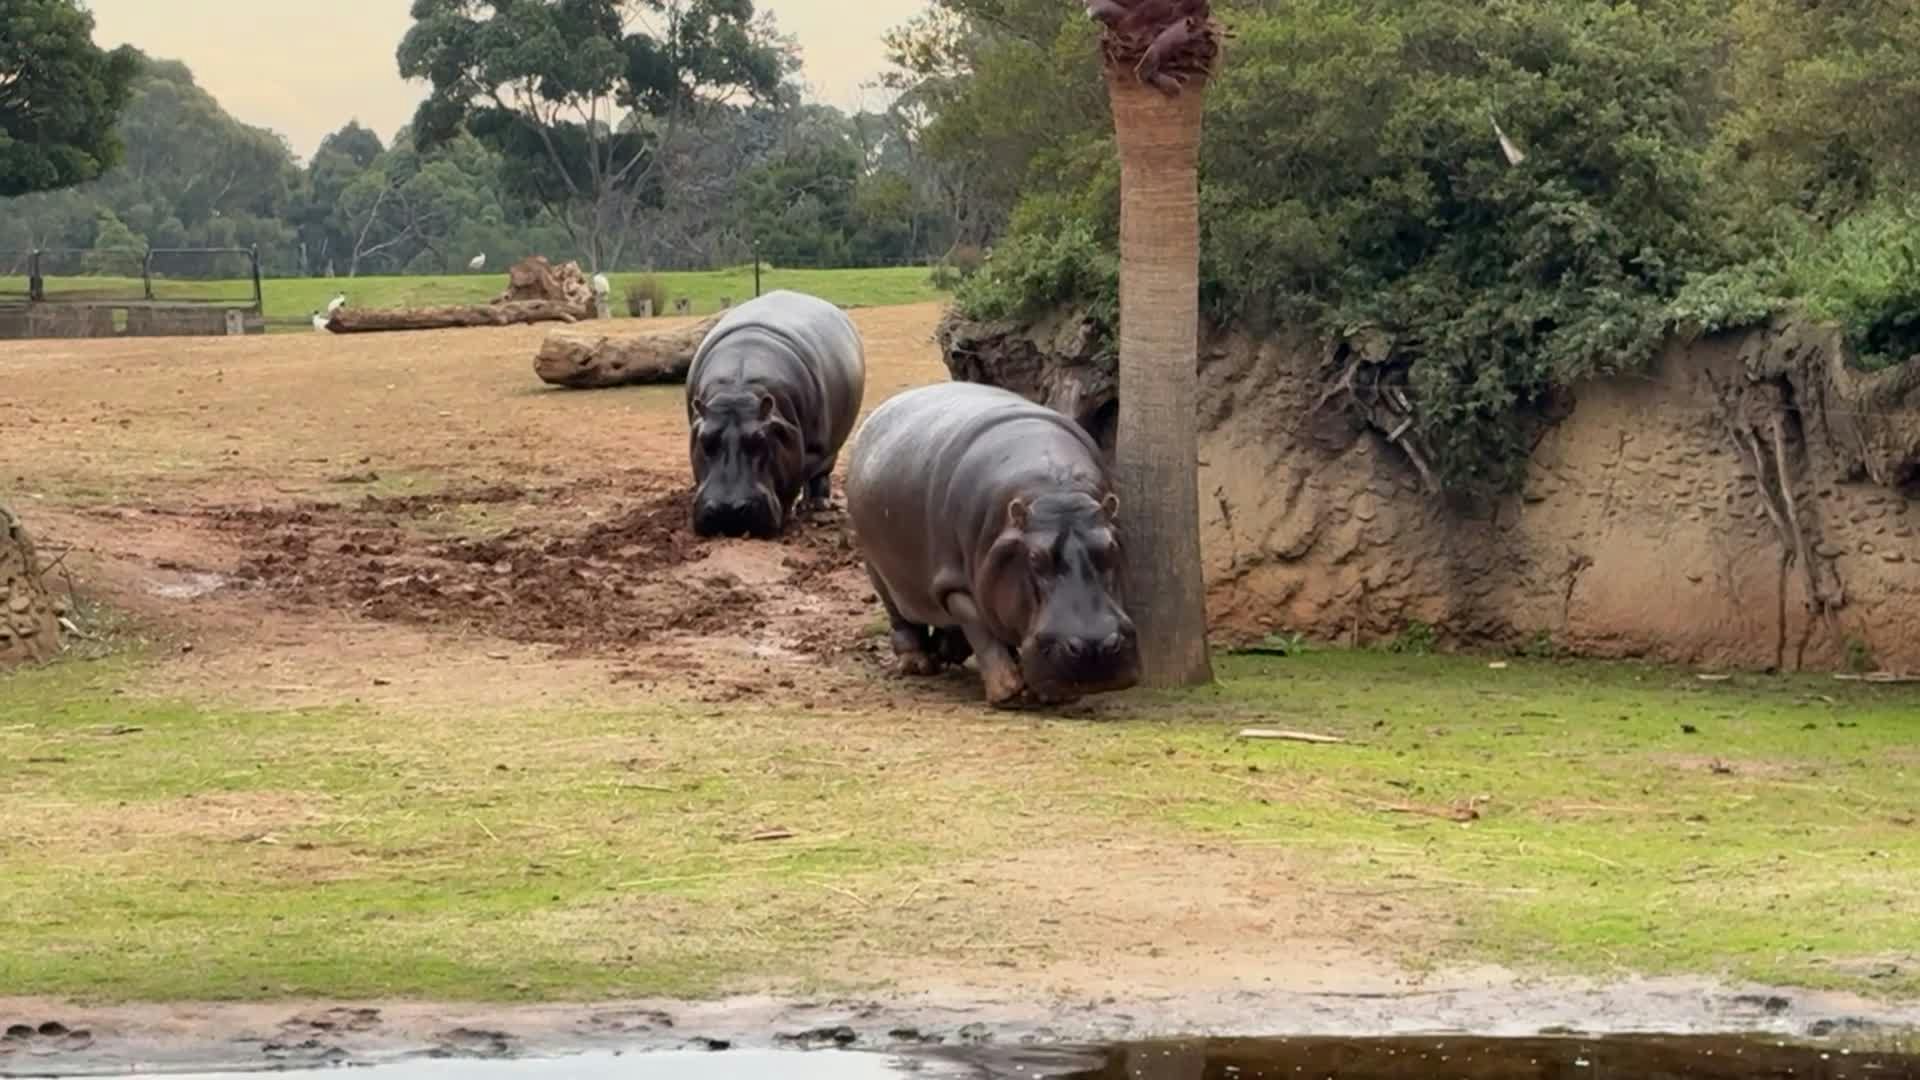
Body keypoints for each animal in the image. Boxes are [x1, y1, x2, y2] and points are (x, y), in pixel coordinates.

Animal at [685, 290, 866, 537]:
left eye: (761, 440)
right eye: (704, 440)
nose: (727, 509)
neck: (739, 390)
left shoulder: (810, 450)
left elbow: (799, 476)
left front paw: (795, 510)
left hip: (831, 447)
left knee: (821, 474)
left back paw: (818, 504)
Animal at [845, 382, 1141, 707]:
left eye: (1112, 548)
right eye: (1034, 558)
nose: (1094, 646)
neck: (1055, 493)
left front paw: (1047, 694)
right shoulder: (956, 585)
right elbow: (980, 629)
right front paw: (1008, 691)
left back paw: (945, 652)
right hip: (878, 569)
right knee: (901, 616)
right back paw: (918, 663)